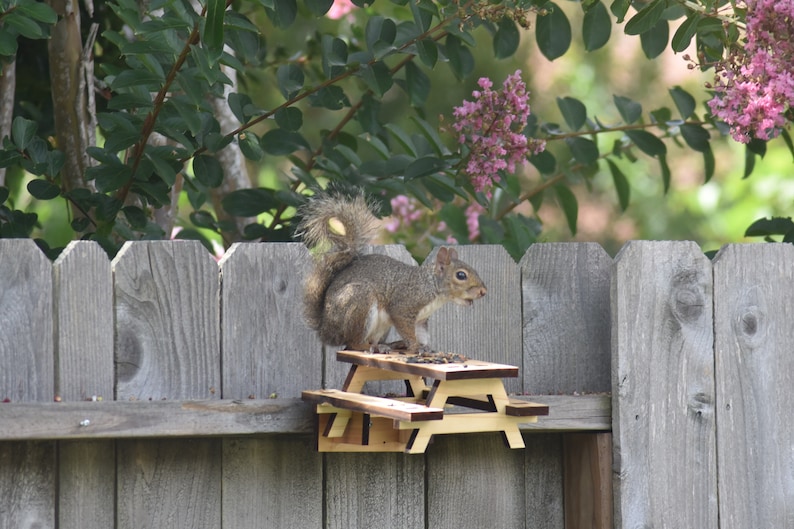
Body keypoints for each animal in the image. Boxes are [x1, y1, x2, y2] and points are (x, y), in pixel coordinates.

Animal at [297, 192, 487, 353]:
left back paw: (390, 345)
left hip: (381, 327)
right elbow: (407, 328)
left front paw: (426, 348)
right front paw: (415, 347)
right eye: (461, 275)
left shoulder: (420, 319)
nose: (483, 292)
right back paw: (371, 347)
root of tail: (325, 329)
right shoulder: (404, 306)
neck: (431, 286)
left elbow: (421, 334)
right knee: (352, 343)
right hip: (359, 302)